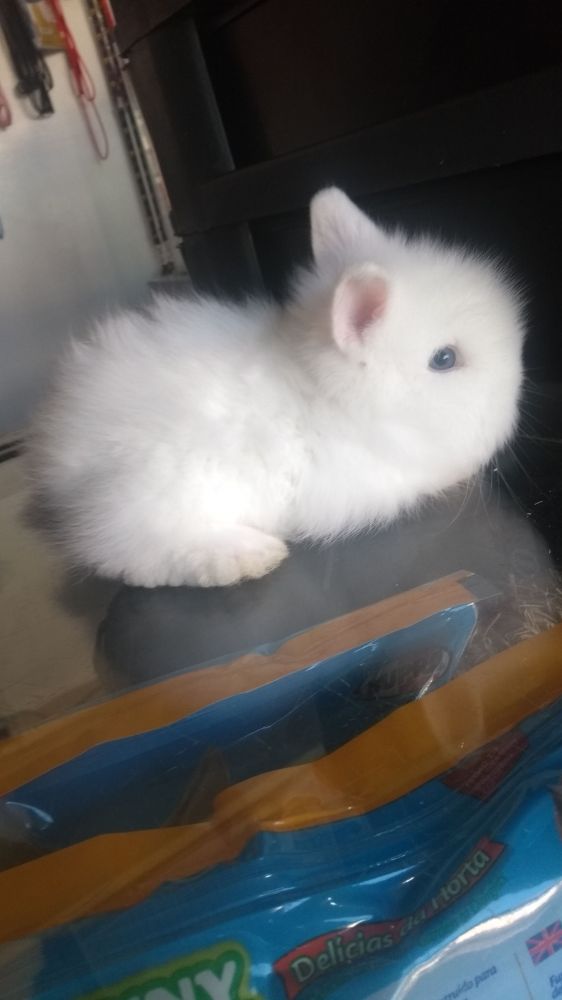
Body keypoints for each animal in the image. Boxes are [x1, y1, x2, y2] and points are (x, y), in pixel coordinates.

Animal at [28, 188, 524, 588]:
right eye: (445, 359)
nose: (517, 381)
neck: (325, 396)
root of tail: (61, 449)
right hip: (159, 486)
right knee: (119, 547)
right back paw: (246, 556)